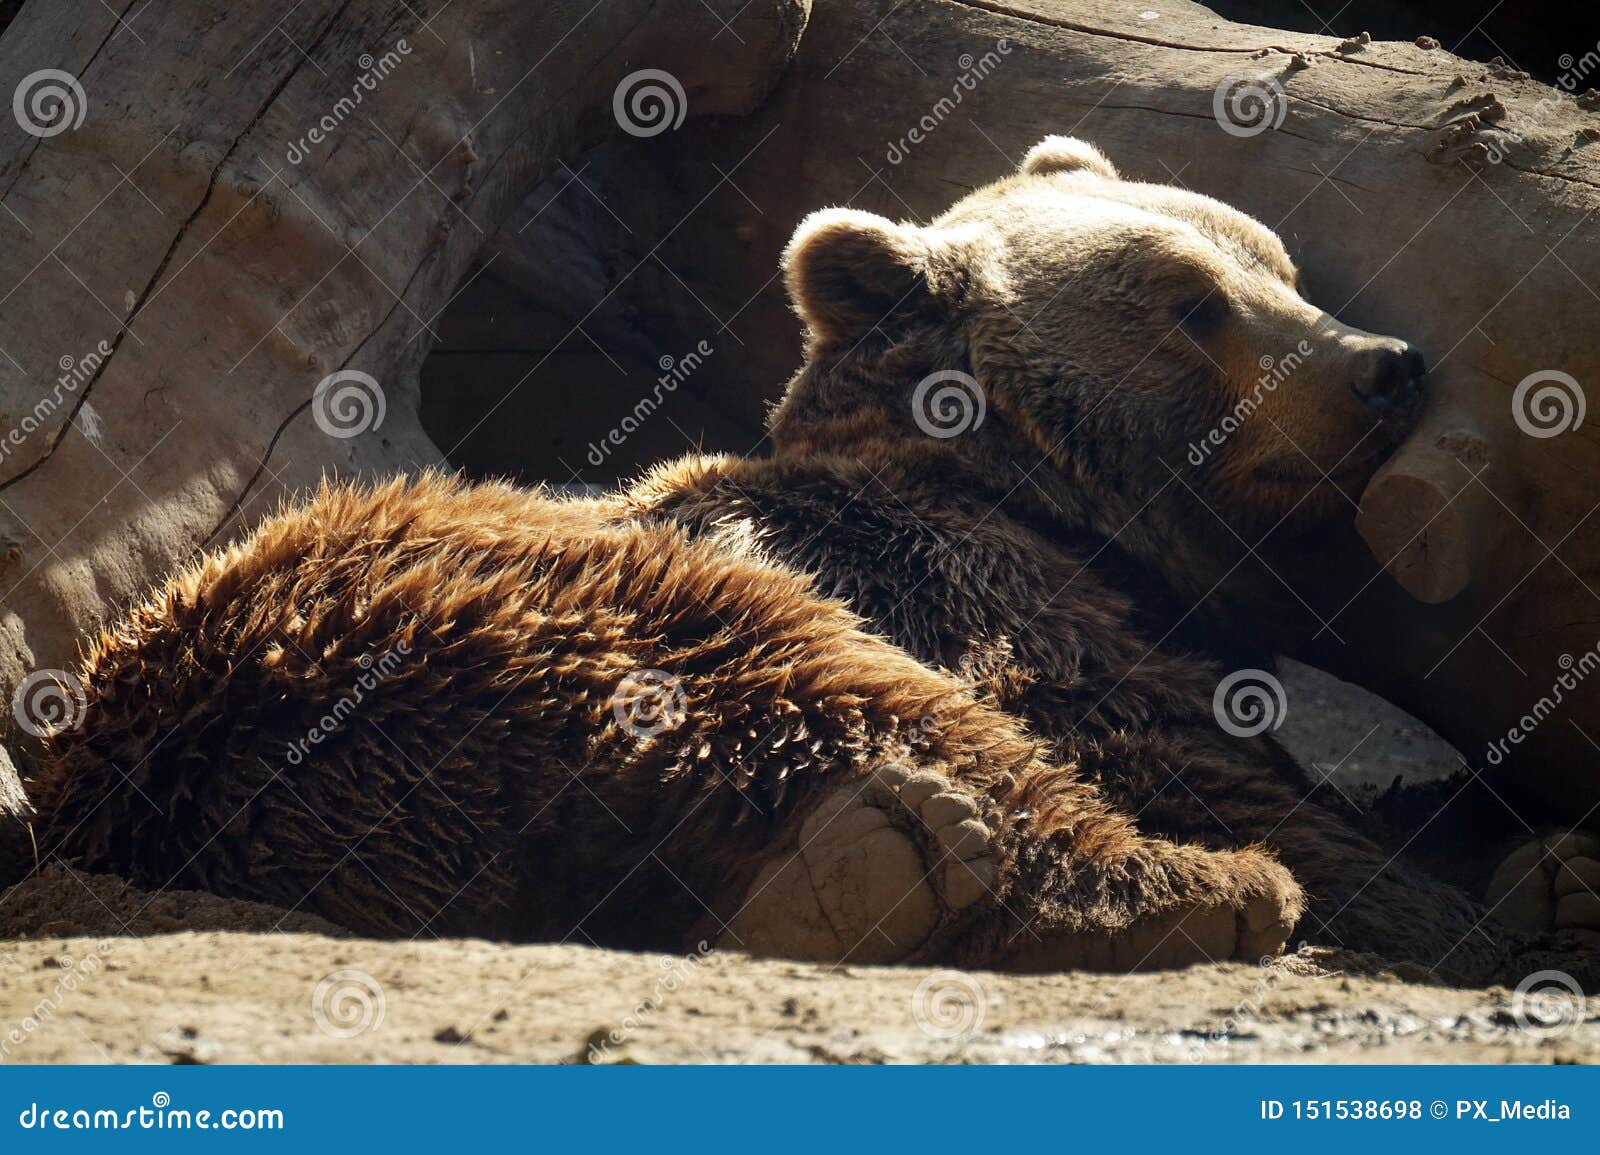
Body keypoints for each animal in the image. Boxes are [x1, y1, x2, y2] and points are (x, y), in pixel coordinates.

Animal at [21, 136, 1548, 976]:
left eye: (1271, 258)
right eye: (1191, 304)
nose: (1383, 366)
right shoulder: (972, 581)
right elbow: (1192, 751)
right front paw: (1452, 891)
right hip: (512, 589)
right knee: (844, 689)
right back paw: (1162, 885)